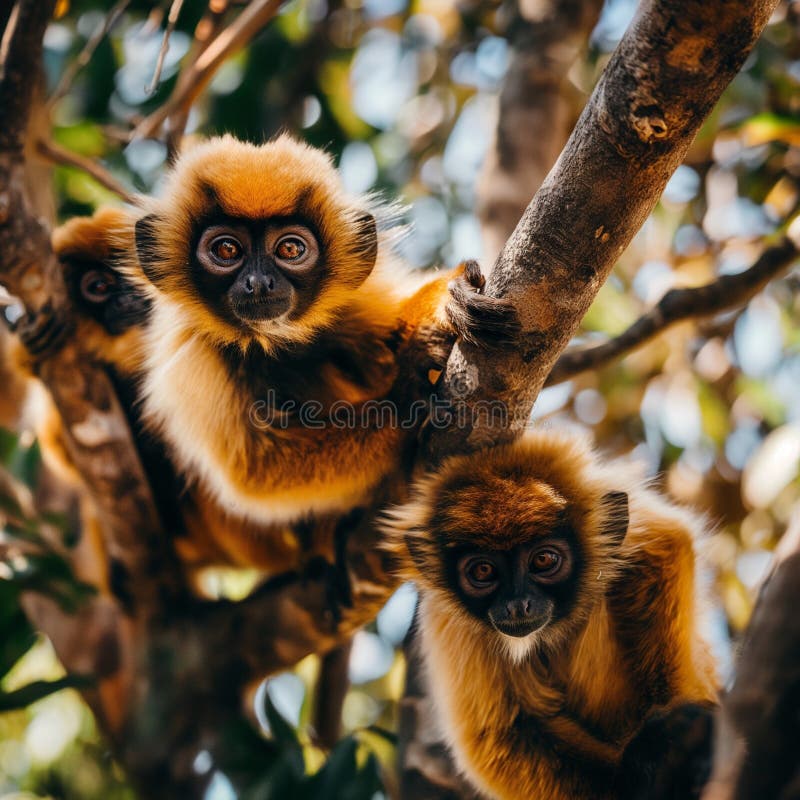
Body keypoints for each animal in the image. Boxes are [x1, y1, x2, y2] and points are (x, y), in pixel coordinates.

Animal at [382, 428, 719, 800]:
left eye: (543, 560)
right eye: (483, 570)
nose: (518, 604)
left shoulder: (652, 545)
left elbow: (667, 541)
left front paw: (677, 749)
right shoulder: (449, 622)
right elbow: (505, 731)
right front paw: (649, 771)